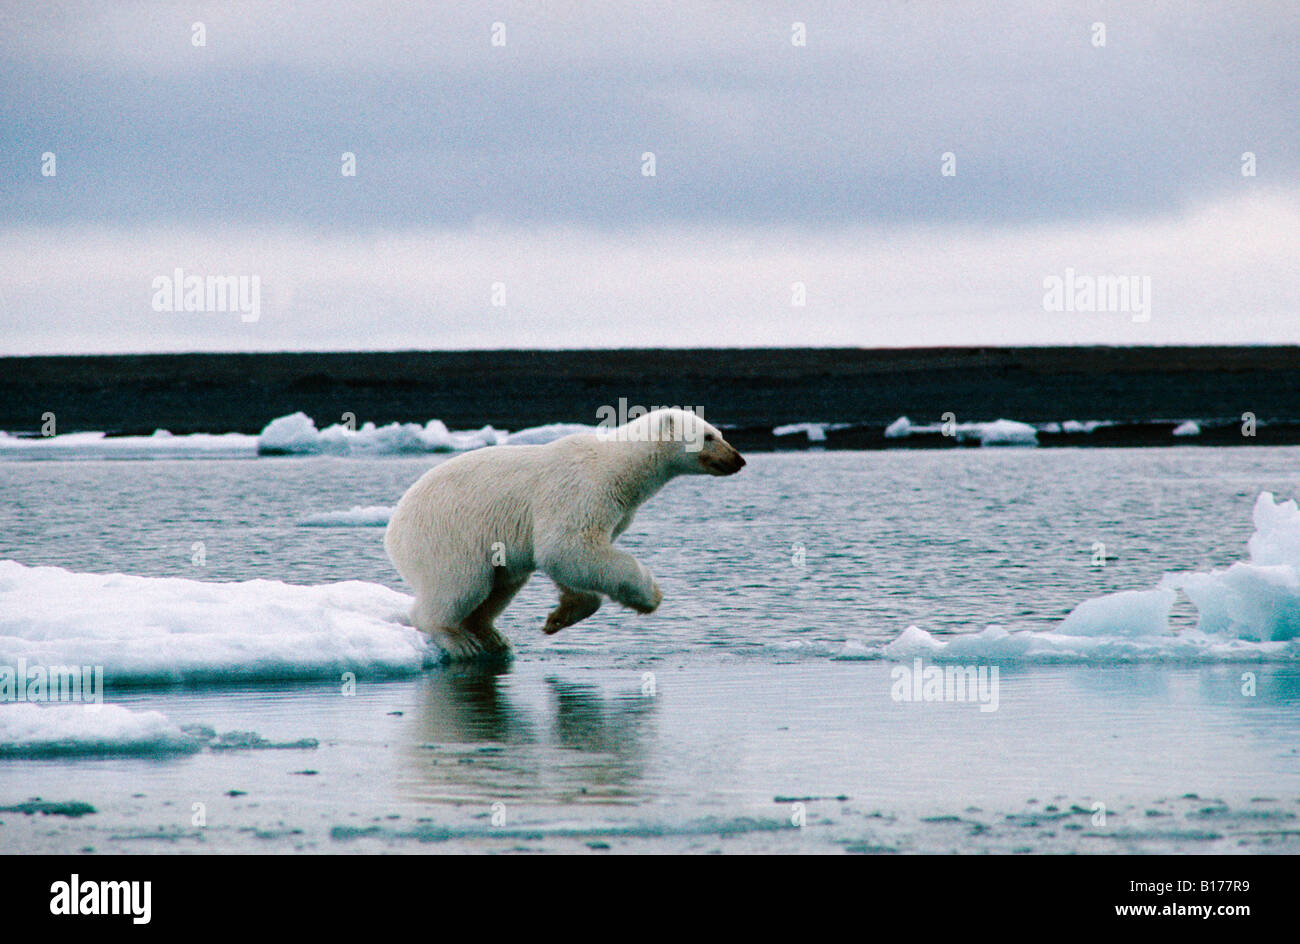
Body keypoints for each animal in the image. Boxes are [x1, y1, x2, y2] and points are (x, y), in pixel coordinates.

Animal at [384, 408, 745, 659]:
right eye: (708, 436)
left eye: (719, 432)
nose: (739, 459)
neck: (619, 466)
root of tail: (392, 530)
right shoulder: (581, 490)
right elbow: (566, 547)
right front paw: (649, 596)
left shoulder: (617, 510)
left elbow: (571, 562)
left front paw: (558, 617)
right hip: (448, 536)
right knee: (460, 585)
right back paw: (458, 640)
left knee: (501, 586)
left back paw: (493, 637)